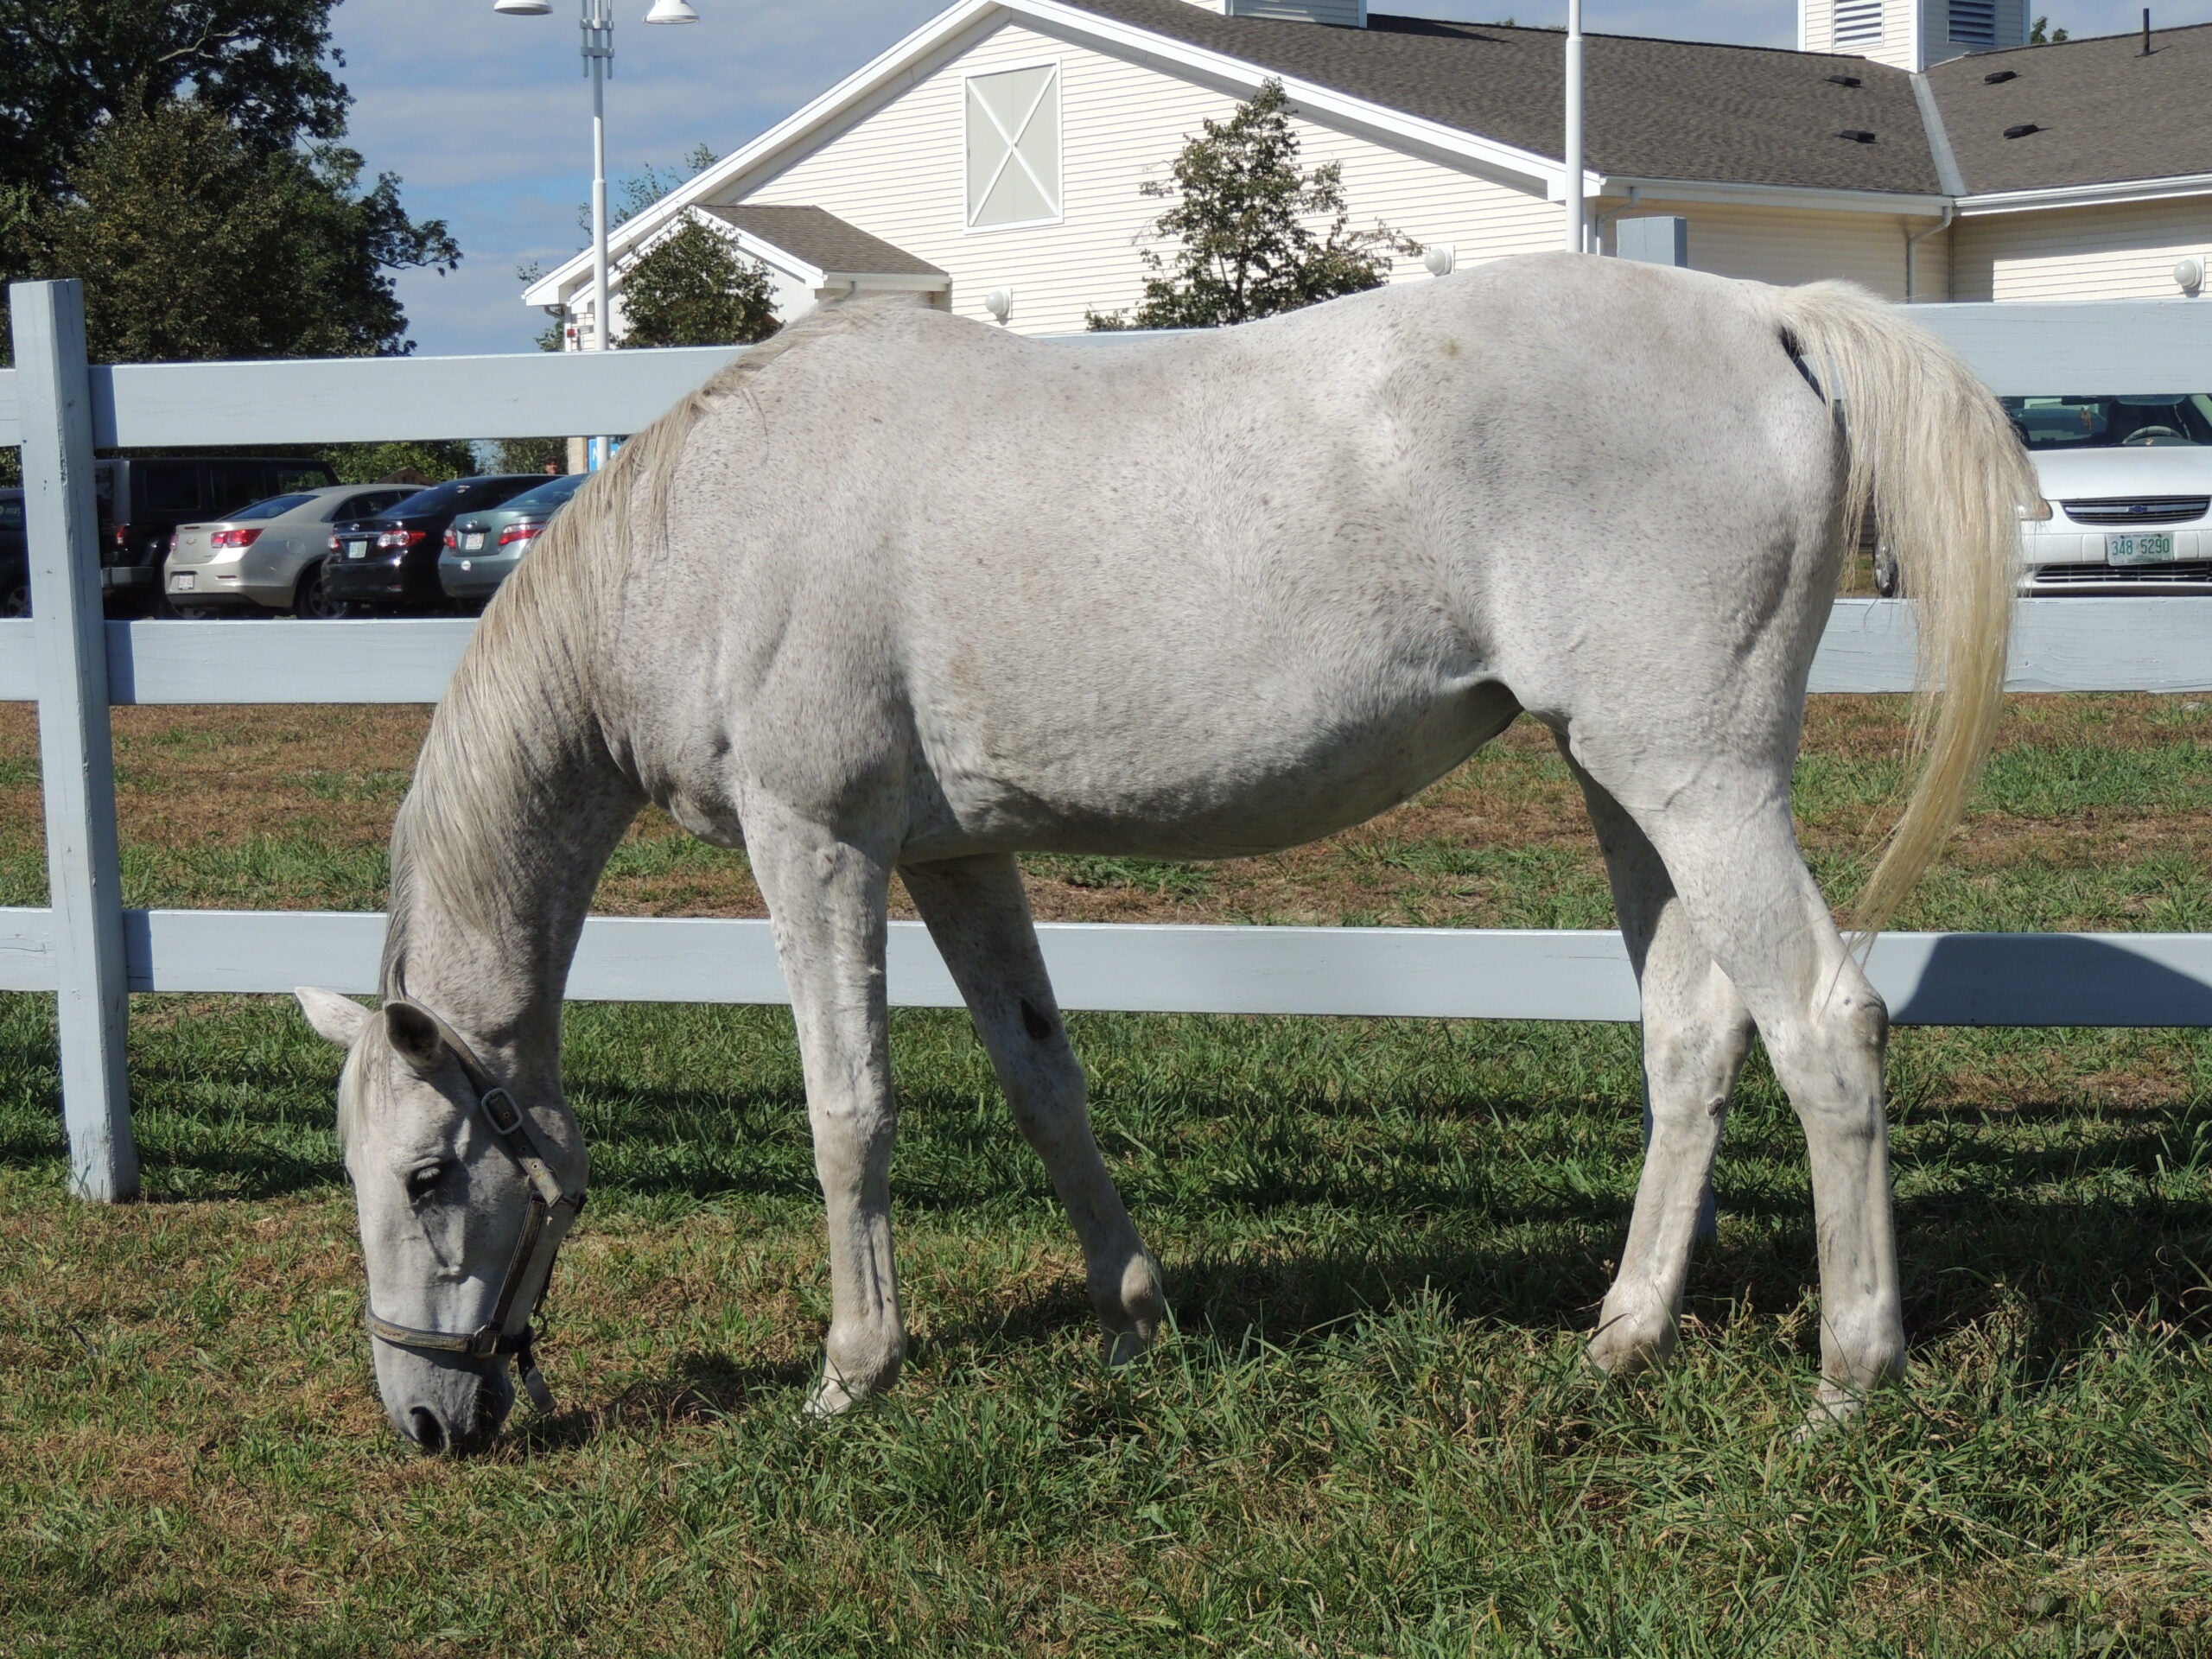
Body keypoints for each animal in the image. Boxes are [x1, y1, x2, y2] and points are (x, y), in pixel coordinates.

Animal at [294, 251, 2035, 1454]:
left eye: (429, 1172)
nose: (427, 1422)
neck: (707, 538)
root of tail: (1769, 317)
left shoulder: (819, 845)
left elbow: (849, 1113)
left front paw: (852, 1373)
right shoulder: (955, 859)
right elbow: (1041, 1078)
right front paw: (1134, 1319)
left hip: (1701, 782)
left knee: (1826, 1025)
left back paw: (1849, 1379)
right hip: (1625, 783)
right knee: (1691, 1038)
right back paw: (1621, 1337)